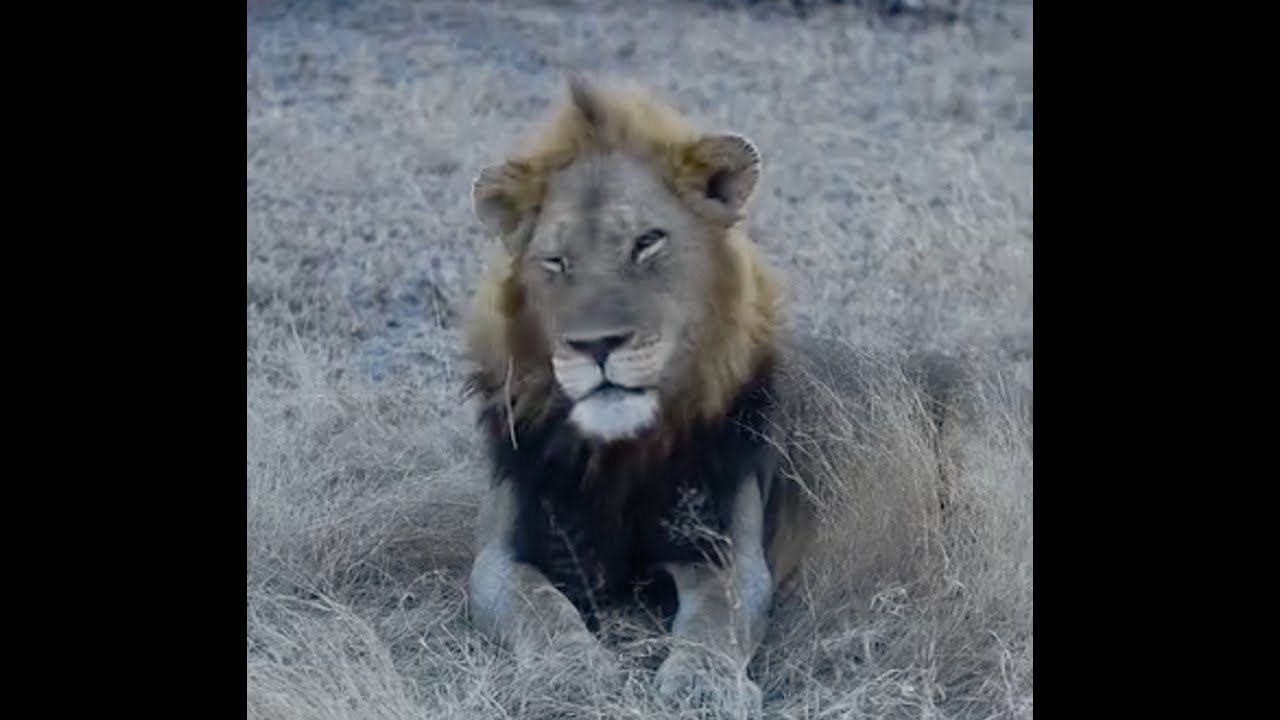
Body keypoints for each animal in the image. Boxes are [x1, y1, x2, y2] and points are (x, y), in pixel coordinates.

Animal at [461, 76, 979, 708]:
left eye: (647, 243)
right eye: (554, 261)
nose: (596, 345)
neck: (624, 453)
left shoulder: (725, 550)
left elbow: (715, 619)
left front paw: (703, 683)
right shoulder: (500, 551)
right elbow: (539, 605)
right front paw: (572, 671)